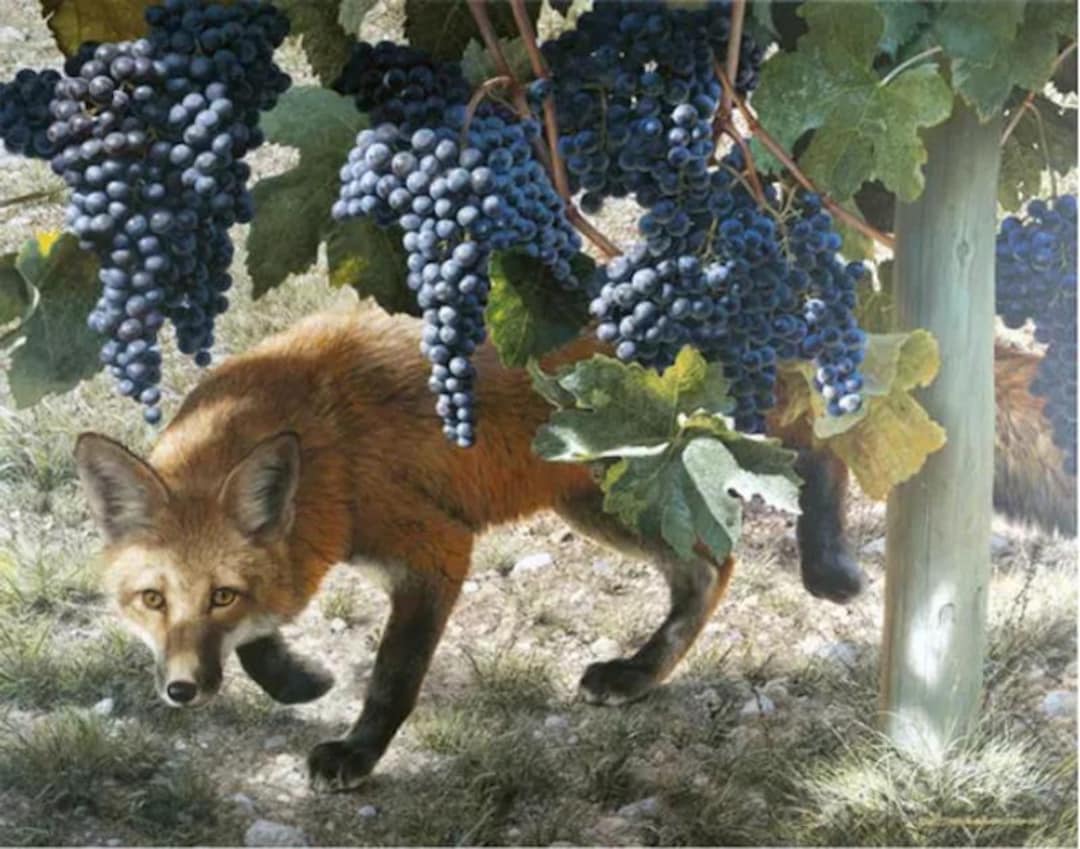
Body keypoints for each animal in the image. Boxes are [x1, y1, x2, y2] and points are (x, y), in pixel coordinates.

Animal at [74, 302, 1074, 790]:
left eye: (220, 593)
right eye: (152, 599)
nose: (178, 692)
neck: (322, 454)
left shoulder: (434, 549)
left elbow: (394, 677)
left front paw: (356, 752)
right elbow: (267, 641)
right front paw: (296, 679)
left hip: (665, 468)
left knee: (813, 449)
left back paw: (825, 558)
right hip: (607, 498)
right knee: (710, 563)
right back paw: (639, 672)